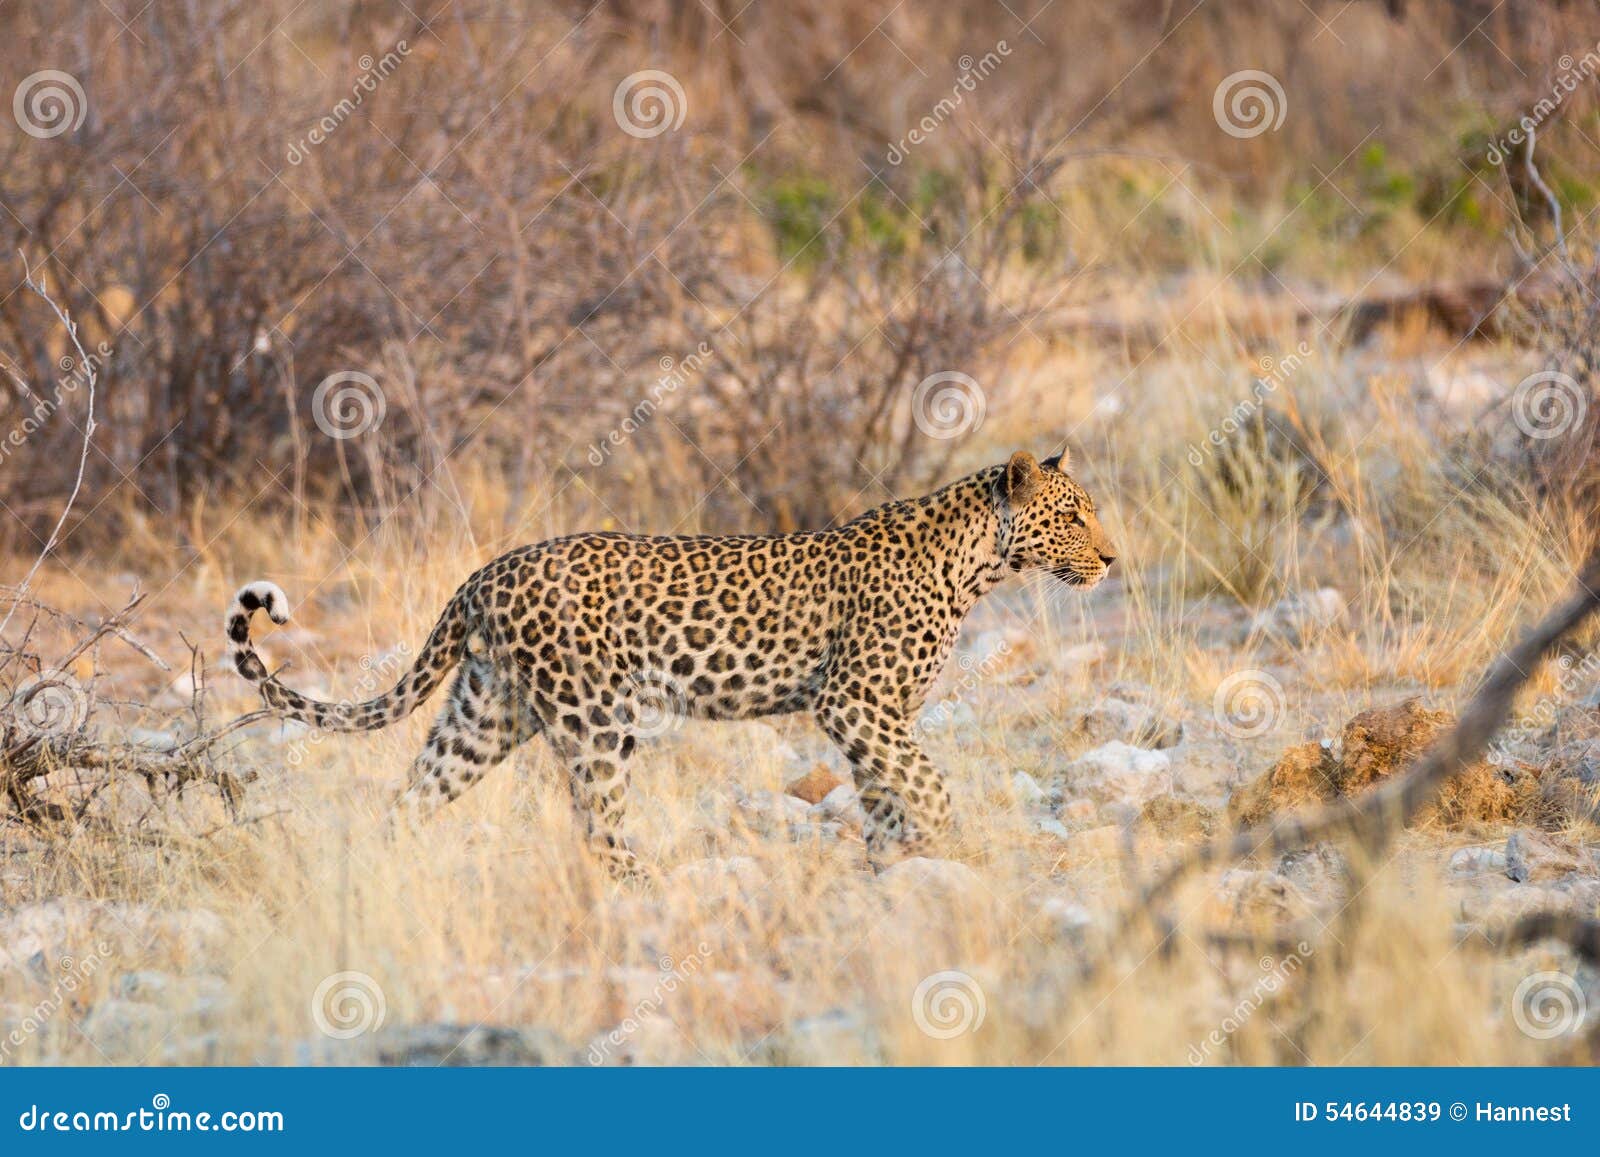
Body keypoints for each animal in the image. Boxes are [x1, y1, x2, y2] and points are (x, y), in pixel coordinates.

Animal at [226, 449, 1117, 878]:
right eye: (1074, 515)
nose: (1112, 557)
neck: (980, 564)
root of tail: (486, 573)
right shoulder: (855, 701)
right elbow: (929, 786)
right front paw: (946, 844)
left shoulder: (879, 717)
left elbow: (887, 796)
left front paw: (897, 864)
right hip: (594, 717)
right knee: (595, 824)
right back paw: (648, 883)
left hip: (486, 710)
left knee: (409, 796)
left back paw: (383, 873)